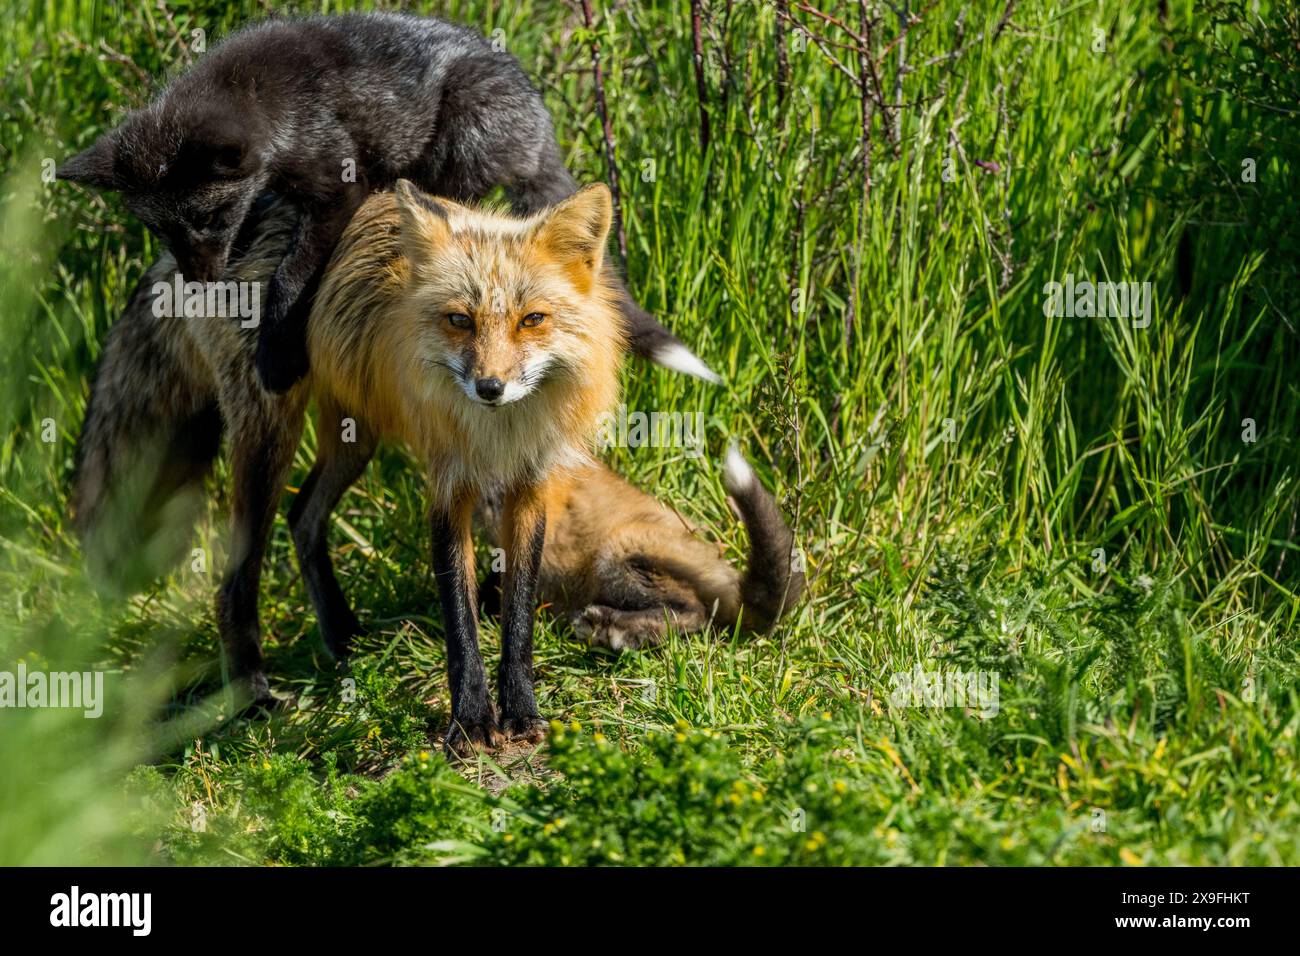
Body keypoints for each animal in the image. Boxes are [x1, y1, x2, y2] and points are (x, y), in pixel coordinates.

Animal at [55, 11, 718, 394]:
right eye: (163, 232)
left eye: (209, 218)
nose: (201, 285)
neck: (272, 104)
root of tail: (539, 123)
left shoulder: (338, 186)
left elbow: (291, 277)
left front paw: (276, 357)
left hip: (462, 134)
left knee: (456, 197)